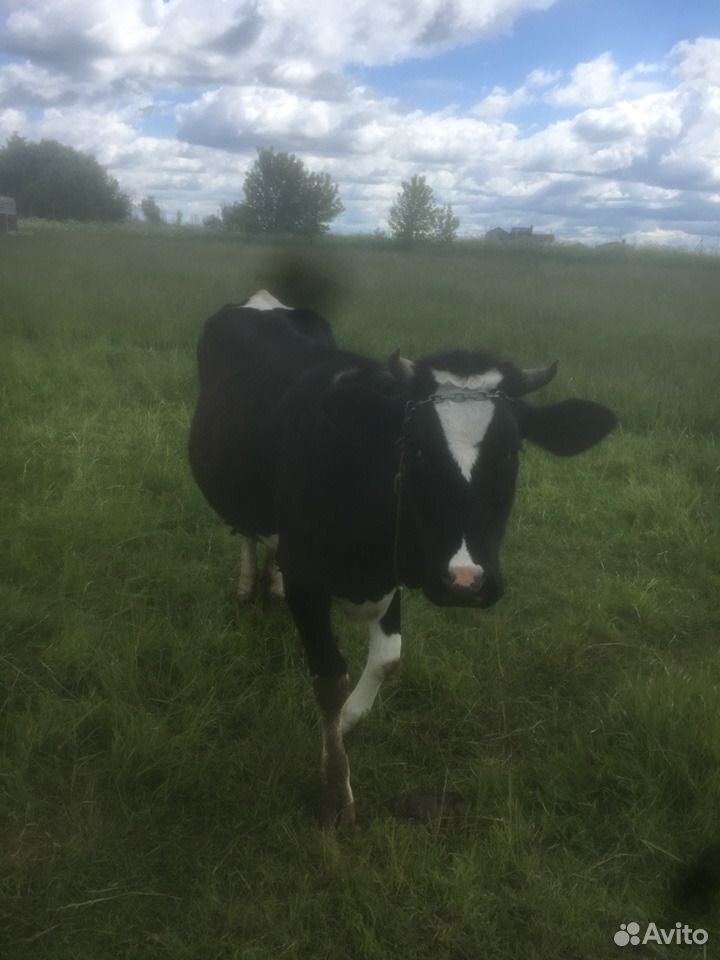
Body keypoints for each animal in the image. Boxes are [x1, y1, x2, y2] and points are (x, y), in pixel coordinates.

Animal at [189, 291, 617, 826]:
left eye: (512, 451)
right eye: (415, 448)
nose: (465, 582)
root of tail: (262, 299)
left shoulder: (390, 573)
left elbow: (388, 659)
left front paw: (349, 721)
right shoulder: (310, 578)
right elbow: (329, 680)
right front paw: (337, 789)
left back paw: (271, 583)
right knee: (246, 531)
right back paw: (249, 585)